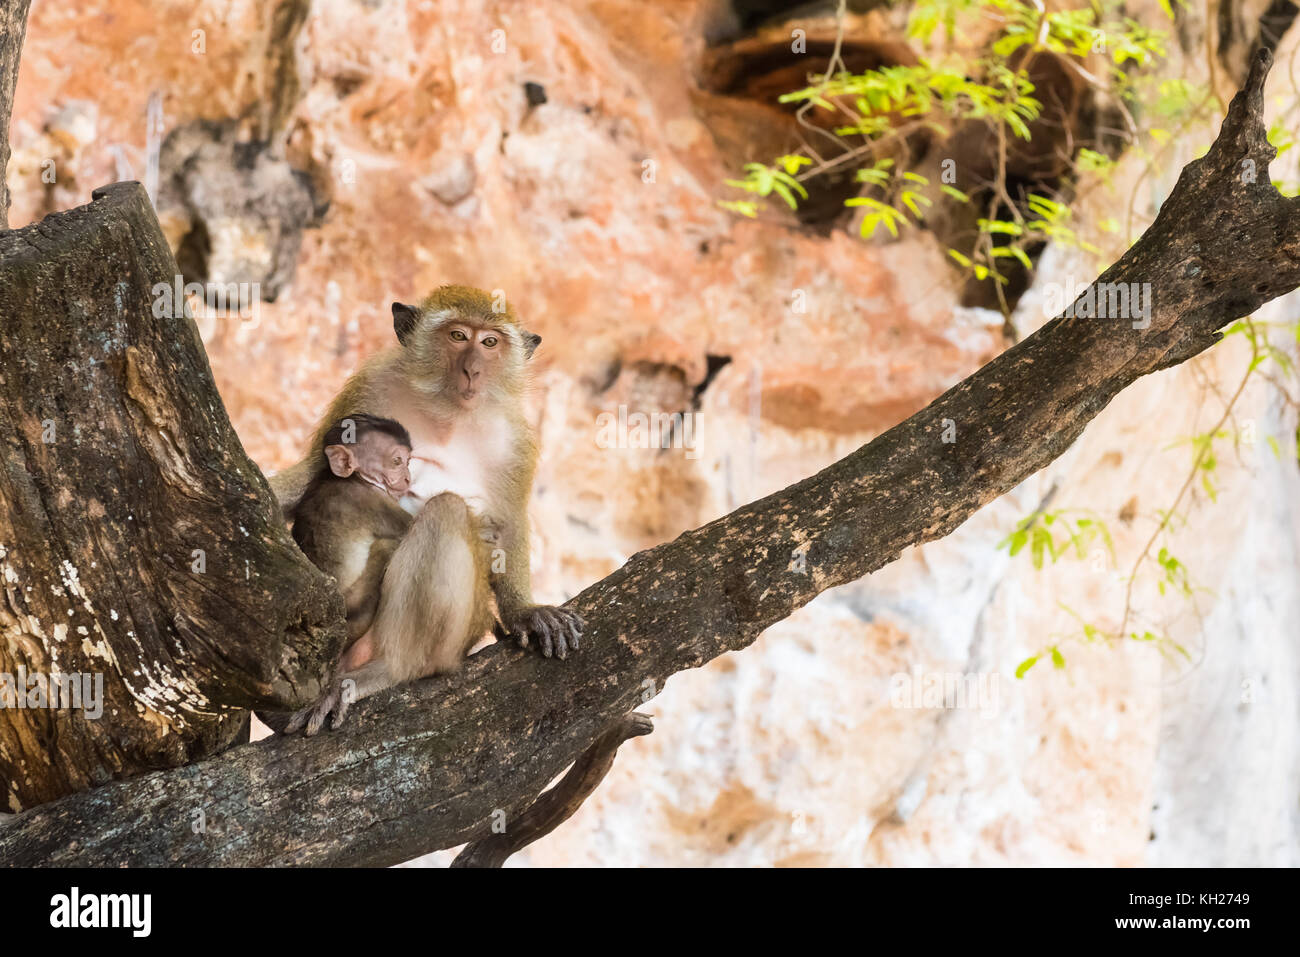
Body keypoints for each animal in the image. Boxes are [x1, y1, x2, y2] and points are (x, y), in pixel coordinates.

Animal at [272, 285, 583, 734]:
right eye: (458, 336)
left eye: (490, 342)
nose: (472, 370)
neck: (448, 413)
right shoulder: (371, 385)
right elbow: (316, 471)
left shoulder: (514, 438)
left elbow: (508, 521)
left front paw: (525, 611)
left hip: (461, 630)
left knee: (445, 512)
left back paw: (394, 668)